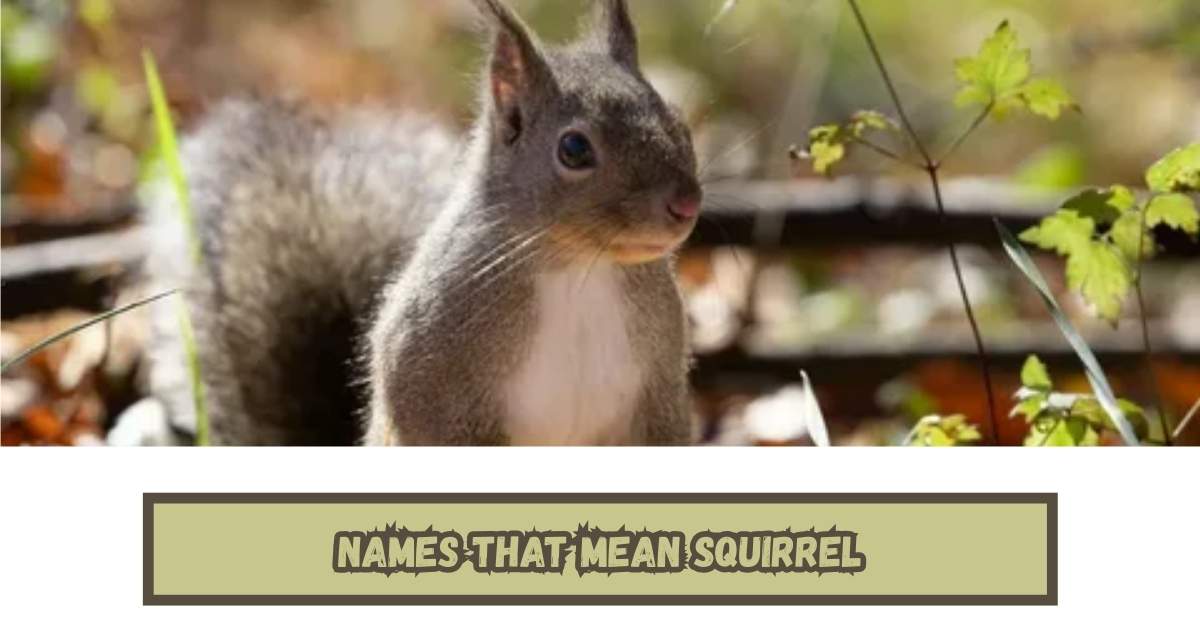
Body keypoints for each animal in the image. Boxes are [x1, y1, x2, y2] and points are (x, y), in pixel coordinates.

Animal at [150, 0, 703, 445]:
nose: (686, 204)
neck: (581, 272)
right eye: (574, 149)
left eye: (680, 122)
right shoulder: (430, 372)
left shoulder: (660, 391)